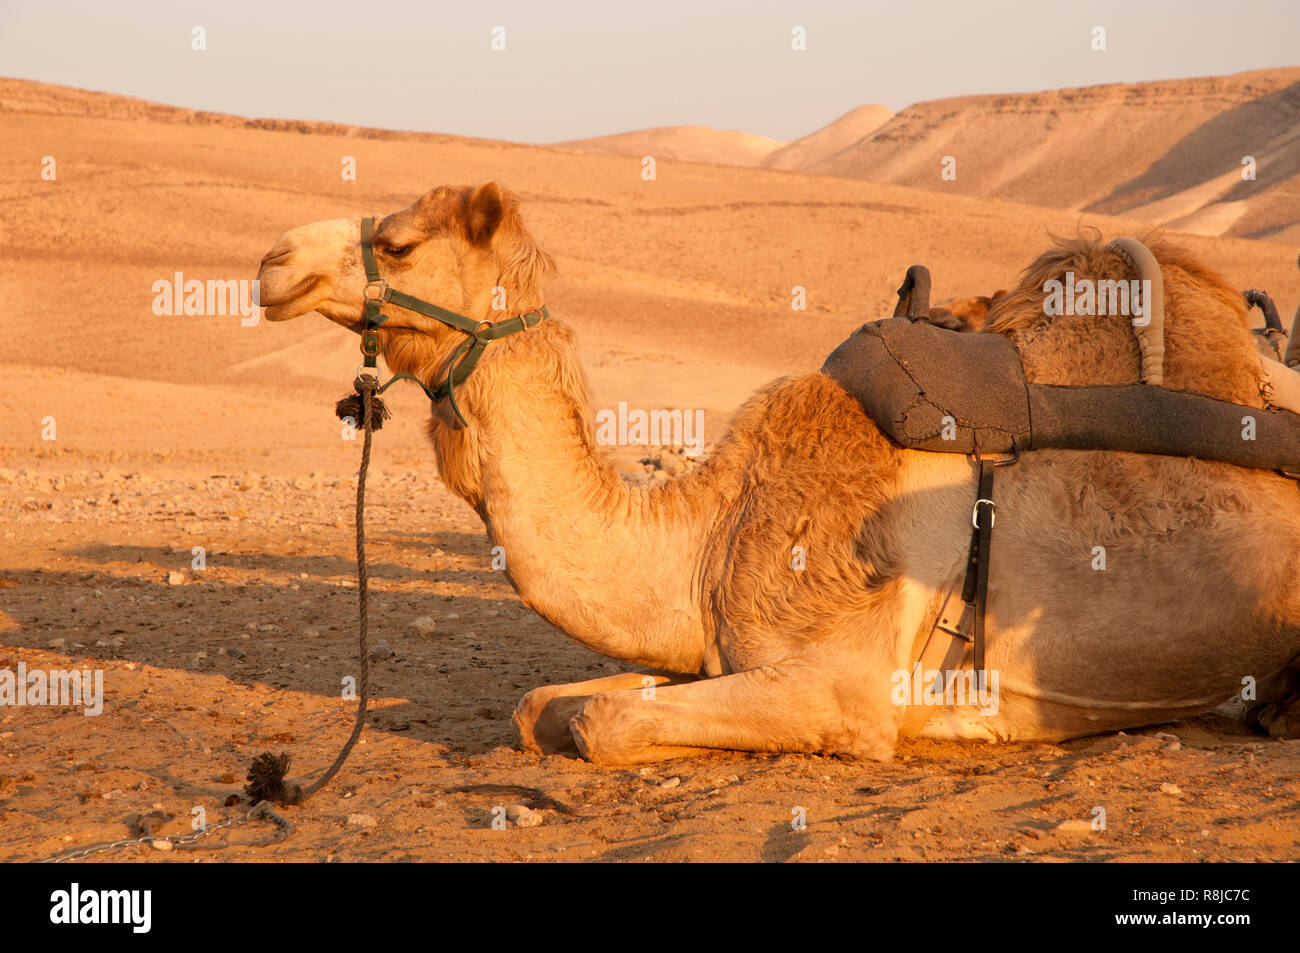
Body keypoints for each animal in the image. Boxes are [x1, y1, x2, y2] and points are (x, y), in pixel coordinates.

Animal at [257, 182, 1300, 763]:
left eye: (398, 244)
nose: (271, 260)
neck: (710, 530)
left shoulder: (843, 687)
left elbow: (603, 723)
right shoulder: (719, 649)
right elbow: (542, 707)